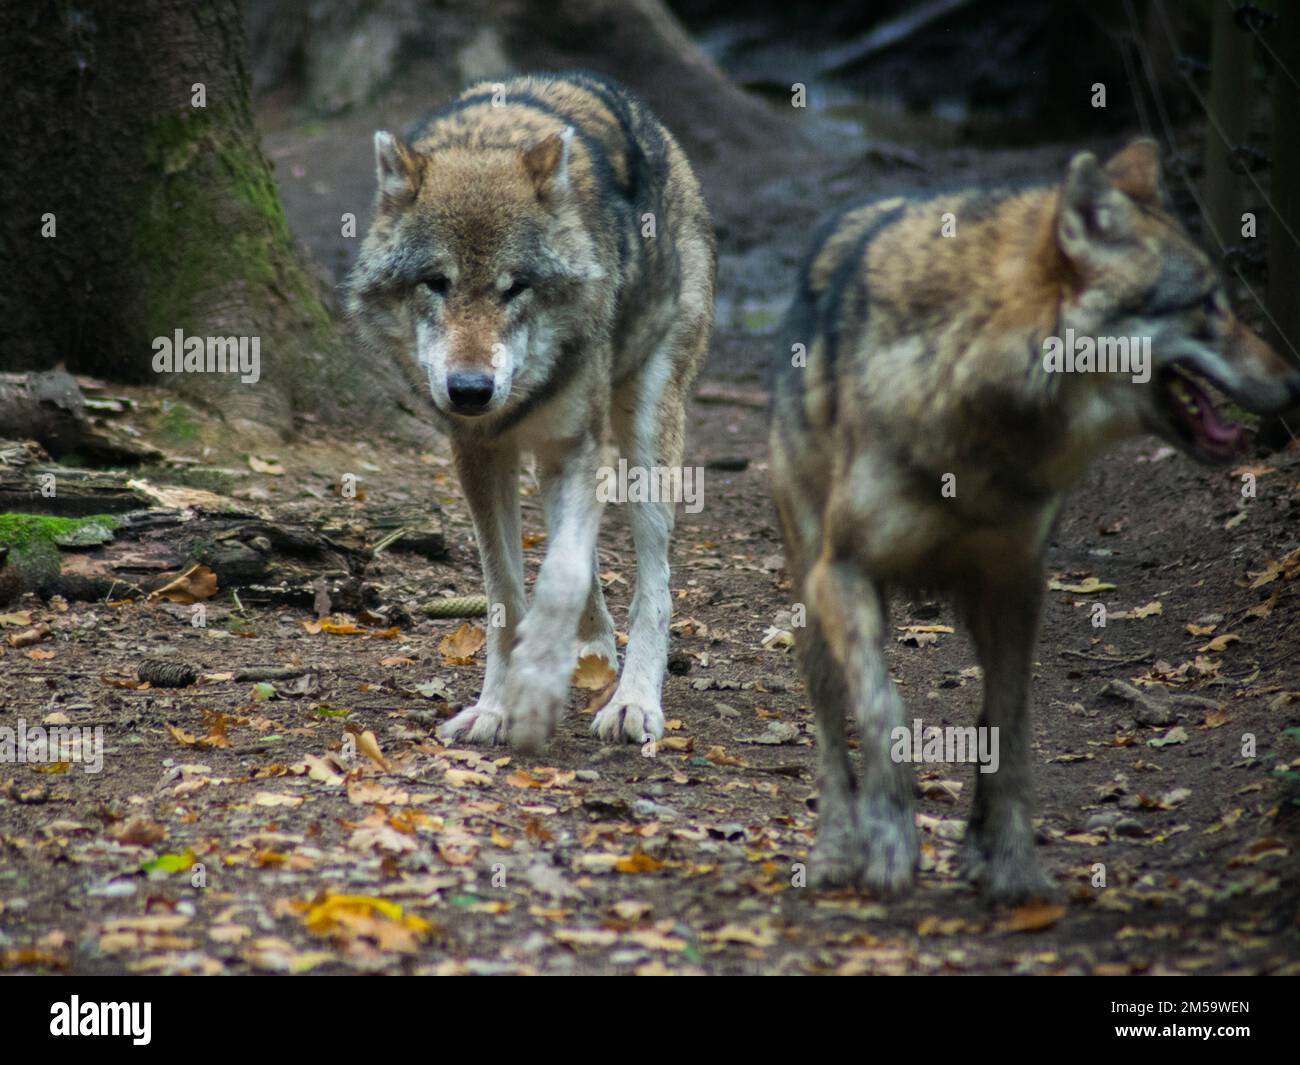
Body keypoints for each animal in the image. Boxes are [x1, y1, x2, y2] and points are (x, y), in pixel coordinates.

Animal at [346, 73, 715, 752]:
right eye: (436, 282)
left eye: (514, 286)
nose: (470, 390)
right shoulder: (478, 452)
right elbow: (505, 597)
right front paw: (494, 706)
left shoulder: (580, 445)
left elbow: (560, 577)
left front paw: (540, 688)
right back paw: (592, 654)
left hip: (646, 432)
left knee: (653, 581)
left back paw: (633, 701)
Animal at [769, 139, 1300, 903]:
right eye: (1205, 305)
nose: (1295, 384)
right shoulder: (845, 573)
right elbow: (885, 713)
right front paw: (892, 843)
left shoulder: (1017, 585)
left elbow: (1008, 731)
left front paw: (1011, 864)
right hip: (813, 603)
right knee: (832, 736)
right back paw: (840, 849)